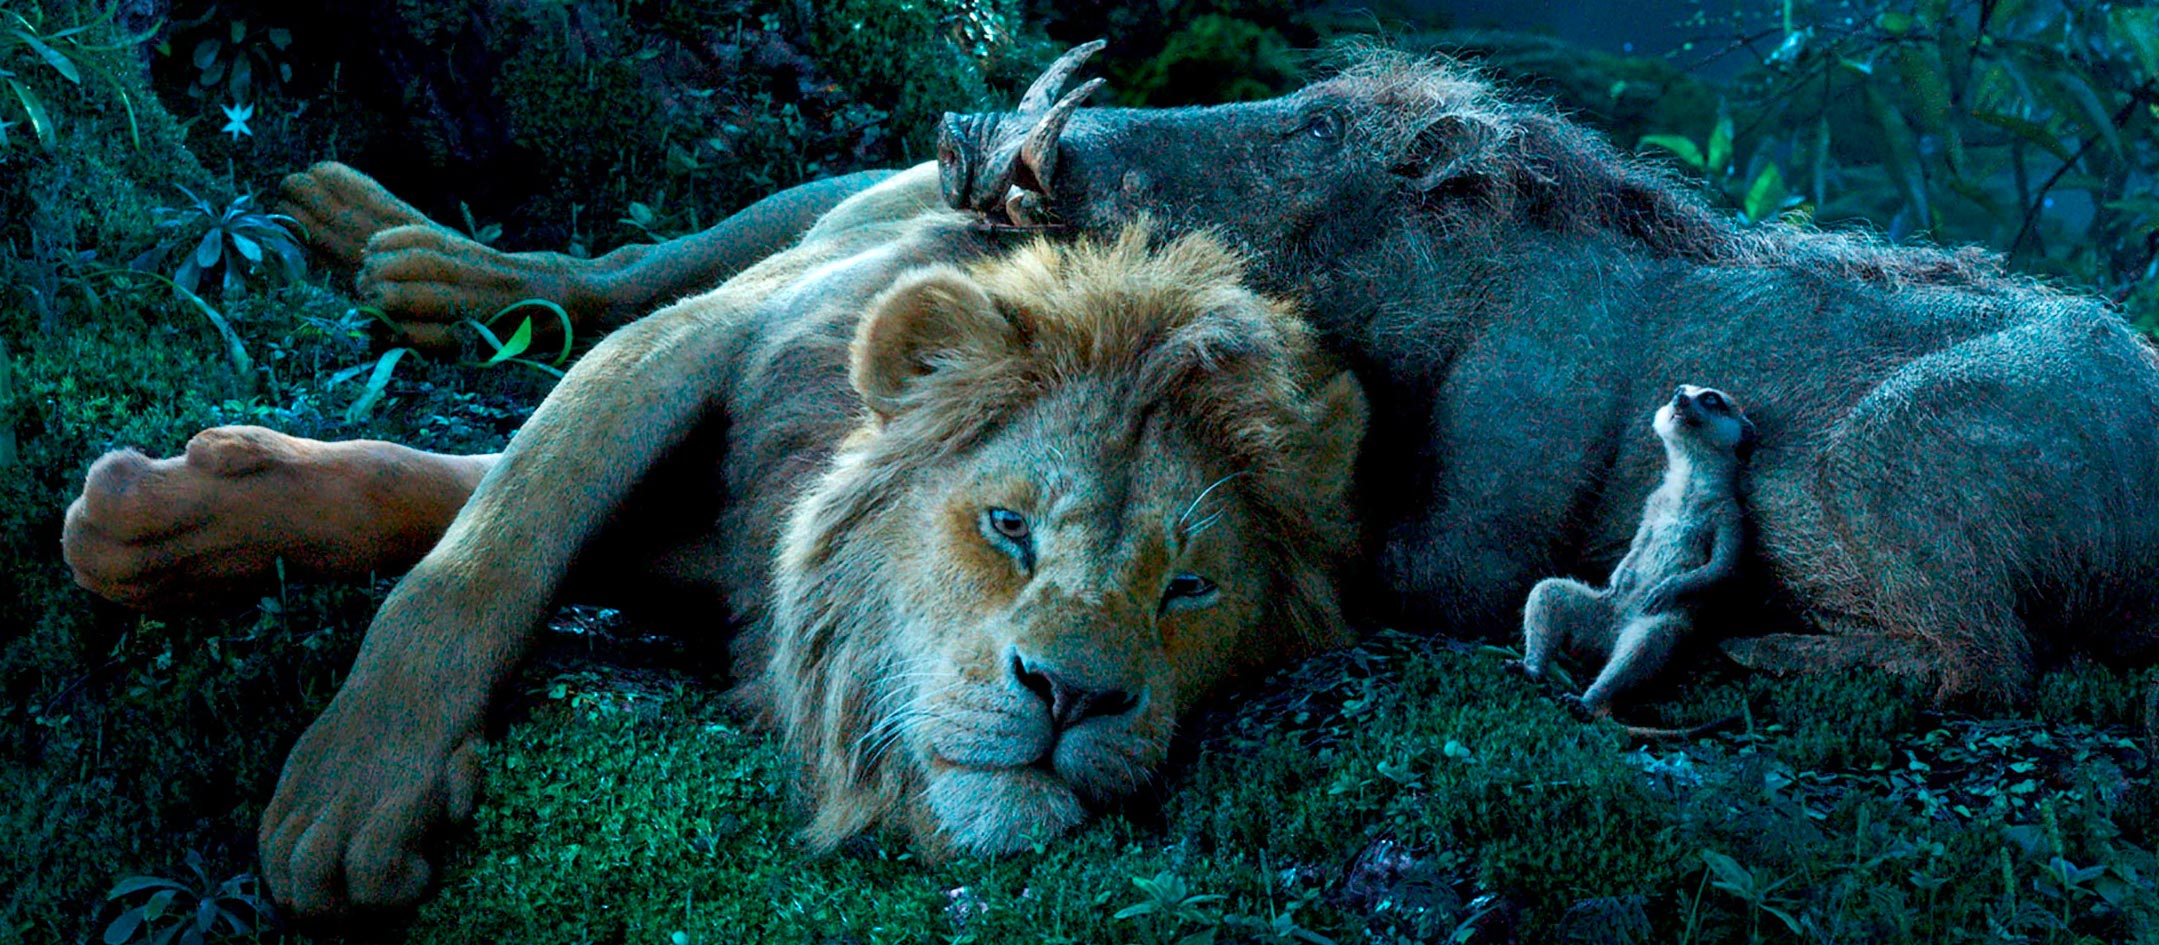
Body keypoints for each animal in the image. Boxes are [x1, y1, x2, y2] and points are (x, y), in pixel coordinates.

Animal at [64, 163, 1366, 917]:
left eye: (1187, 591)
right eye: (1007, 525)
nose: (1076, 696)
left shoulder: (737, 551)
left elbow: (446, 496)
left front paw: (179, 521)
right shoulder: (707, 340)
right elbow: (490, 542)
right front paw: (356, 792)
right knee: (619, 268)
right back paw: (416, 254)